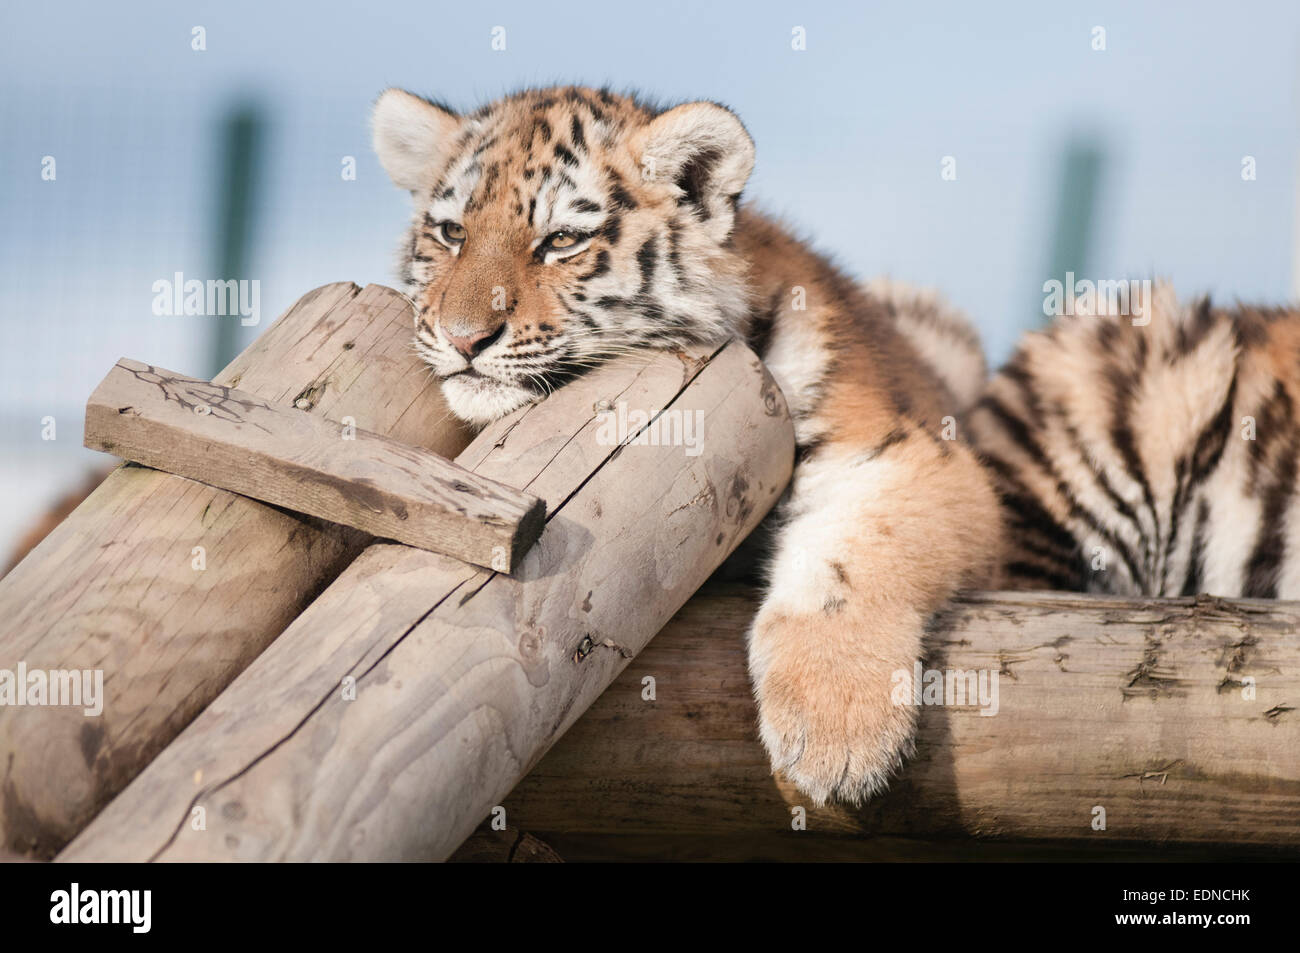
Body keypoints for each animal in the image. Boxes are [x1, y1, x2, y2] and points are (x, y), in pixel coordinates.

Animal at [371, 85, 1003, 805]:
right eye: (452, 233)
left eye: (562, 240)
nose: (463, 337)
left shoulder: (910, 454)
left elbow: (849, 559)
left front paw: (837, 733)